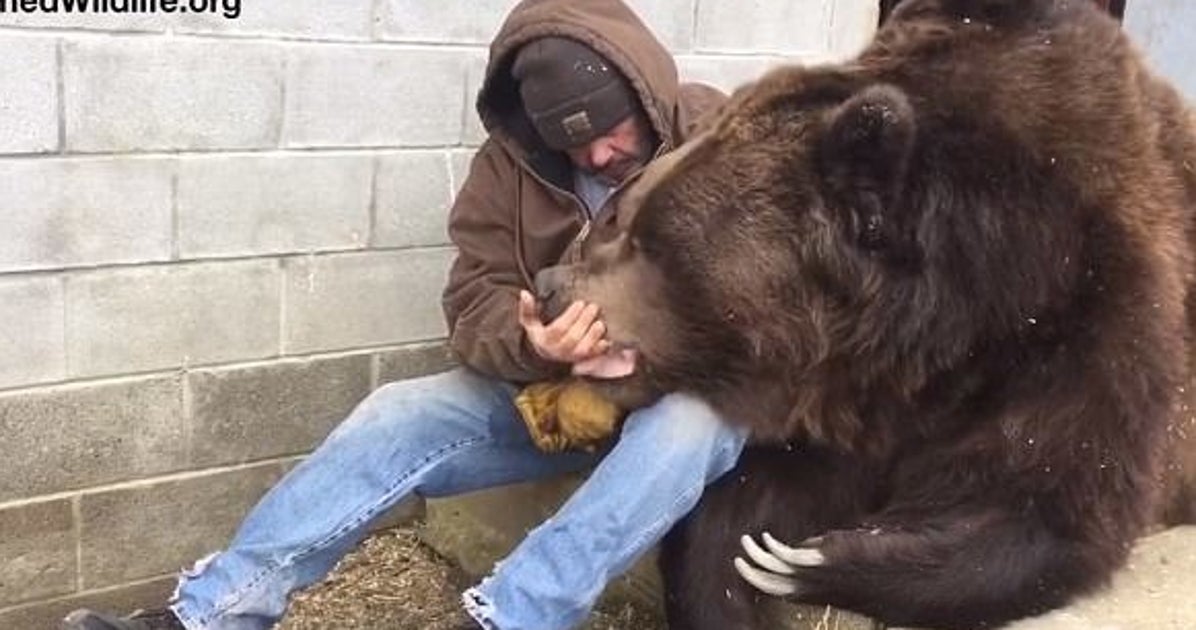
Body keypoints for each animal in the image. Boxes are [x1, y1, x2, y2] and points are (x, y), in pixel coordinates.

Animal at [533, 0, 1196, 628]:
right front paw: (749, 567)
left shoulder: (1091, 328)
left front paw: (809, 561)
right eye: (628, 215)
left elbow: (1047, 510)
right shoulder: (854, 395)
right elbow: (749, 505)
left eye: (649, 240)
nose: (548, 285)